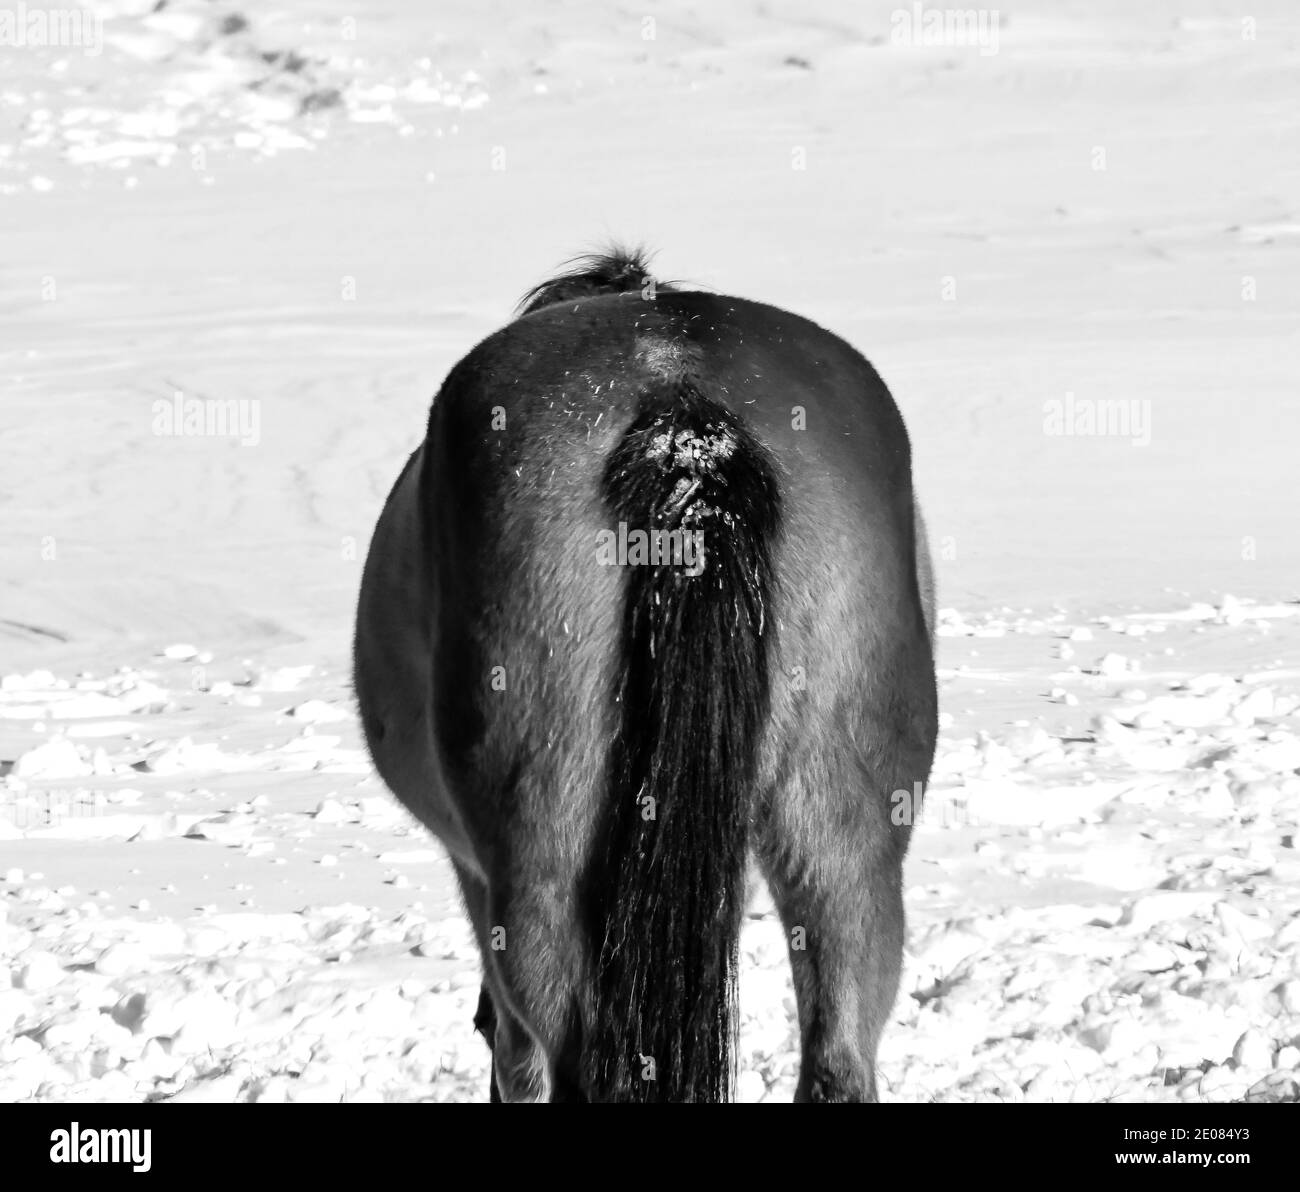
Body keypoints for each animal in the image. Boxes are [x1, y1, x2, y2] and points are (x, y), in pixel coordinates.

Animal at [353, 247, 937, 1102]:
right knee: (839, 1050)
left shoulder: (476, 878)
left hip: (546, 866)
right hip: (842, 841)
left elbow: (513, 1058)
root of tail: (680, 412)